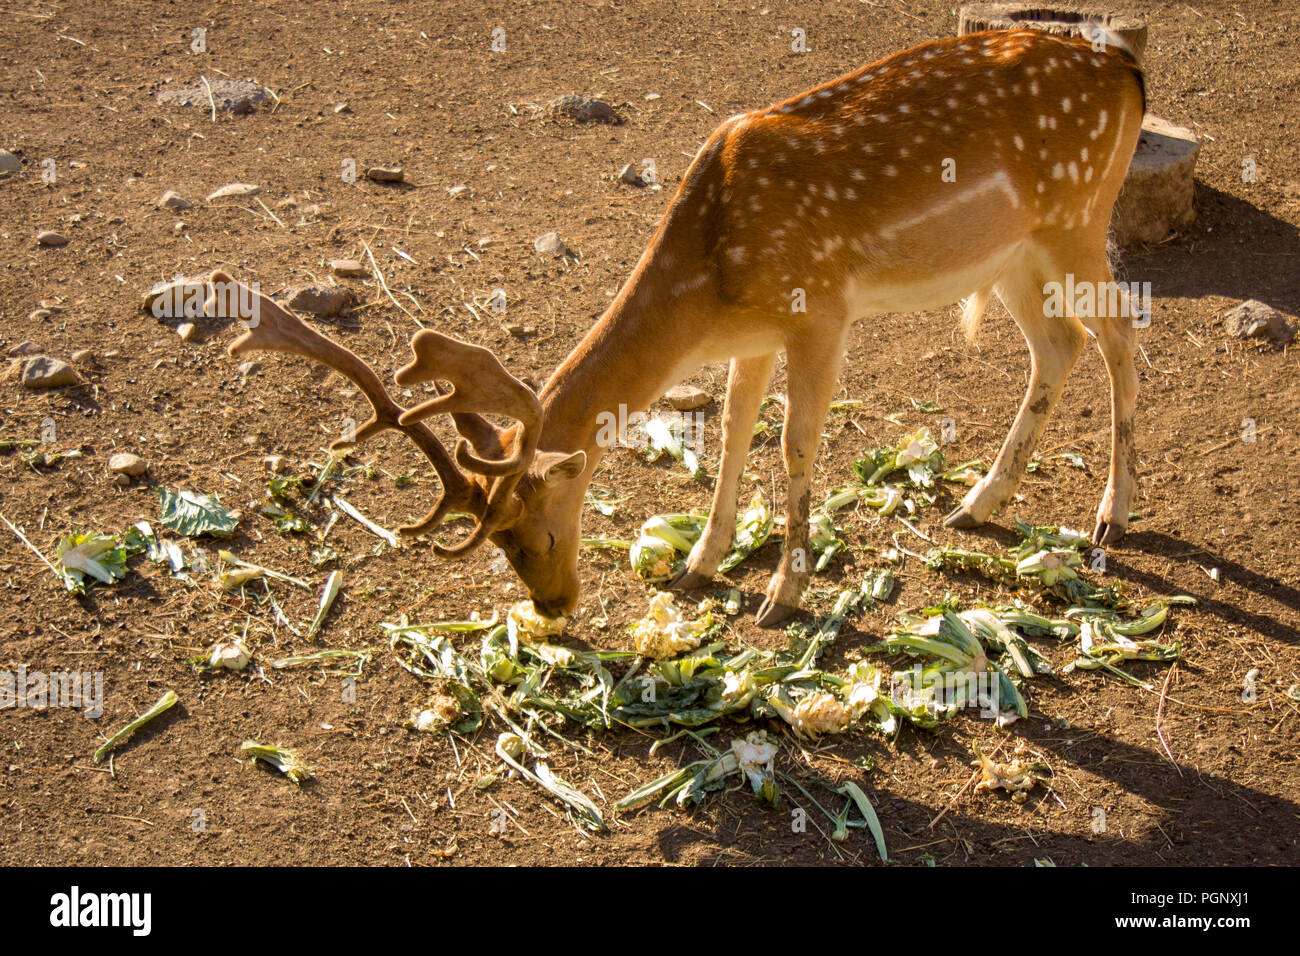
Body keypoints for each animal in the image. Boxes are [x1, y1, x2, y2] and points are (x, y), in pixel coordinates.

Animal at [206, 26, 1146, 629]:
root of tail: (1130, 71)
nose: (554, 607)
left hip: (1080, 213)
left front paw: (783, 595)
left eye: (539, 528)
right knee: (1060, 345)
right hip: (1011, 254)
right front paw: (702, 562)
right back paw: (979, 502)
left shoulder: (820, 309)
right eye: (501, 545)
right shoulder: (757, 335)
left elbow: (795, 447)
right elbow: (731, 431)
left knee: (1123, 337)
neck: (710, 284)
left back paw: (1110, 518)